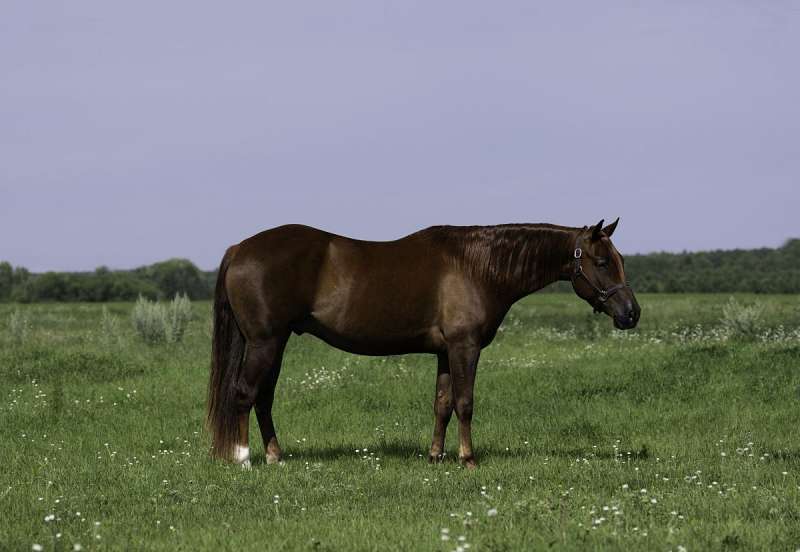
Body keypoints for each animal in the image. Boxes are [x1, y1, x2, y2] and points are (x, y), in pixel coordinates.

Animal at [206, 218, 640, 468]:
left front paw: (435, 457)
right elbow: (465, 403)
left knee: (263, 398)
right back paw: (244, 460)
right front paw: (468, 460)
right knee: (245, 394)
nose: (631, 313)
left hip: (275, 343)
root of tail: (239, 249)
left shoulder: (445, 353)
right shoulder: (465, 347)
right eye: (602, 262)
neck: (476, 266)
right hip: (264, 342)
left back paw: (276, 457)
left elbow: (442, 404)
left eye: (620, 260)